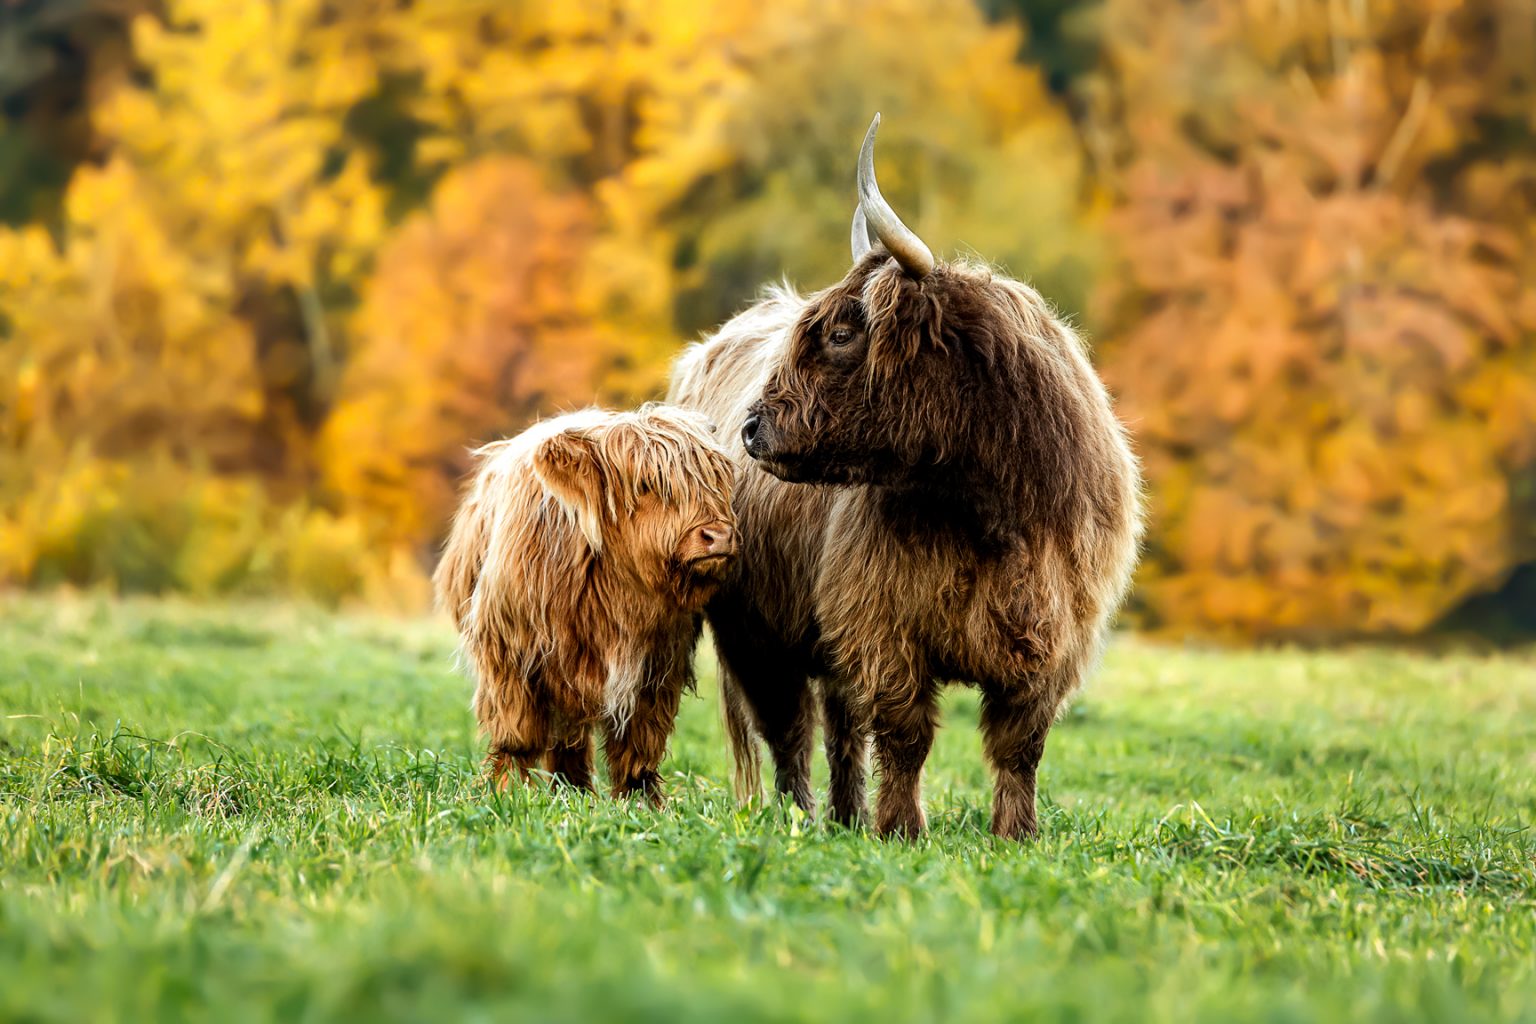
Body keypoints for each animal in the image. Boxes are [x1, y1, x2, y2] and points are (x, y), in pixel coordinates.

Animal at [434, 405, 738, 803]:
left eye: (718, 479)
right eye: (646, 484)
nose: (718, 535)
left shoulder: (658, 666)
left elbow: (639, 743)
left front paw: (643, 801)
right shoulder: (509, 650)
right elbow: (517, 733)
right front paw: (506, 792)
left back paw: (574, 790)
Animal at [668, 115, 1142, 839]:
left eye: (841, 333)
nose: (752, 429)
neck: (990, 509)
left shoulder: (1056, 635)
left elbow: (1019, 745)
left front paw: (1016, 832)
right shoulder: (884, 626)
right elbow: (905, 732)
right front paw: (901, 828)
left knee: (839, 728)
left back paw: (845, 815)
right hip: (759, 633)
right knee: (789, 730)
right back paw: (801, 816)